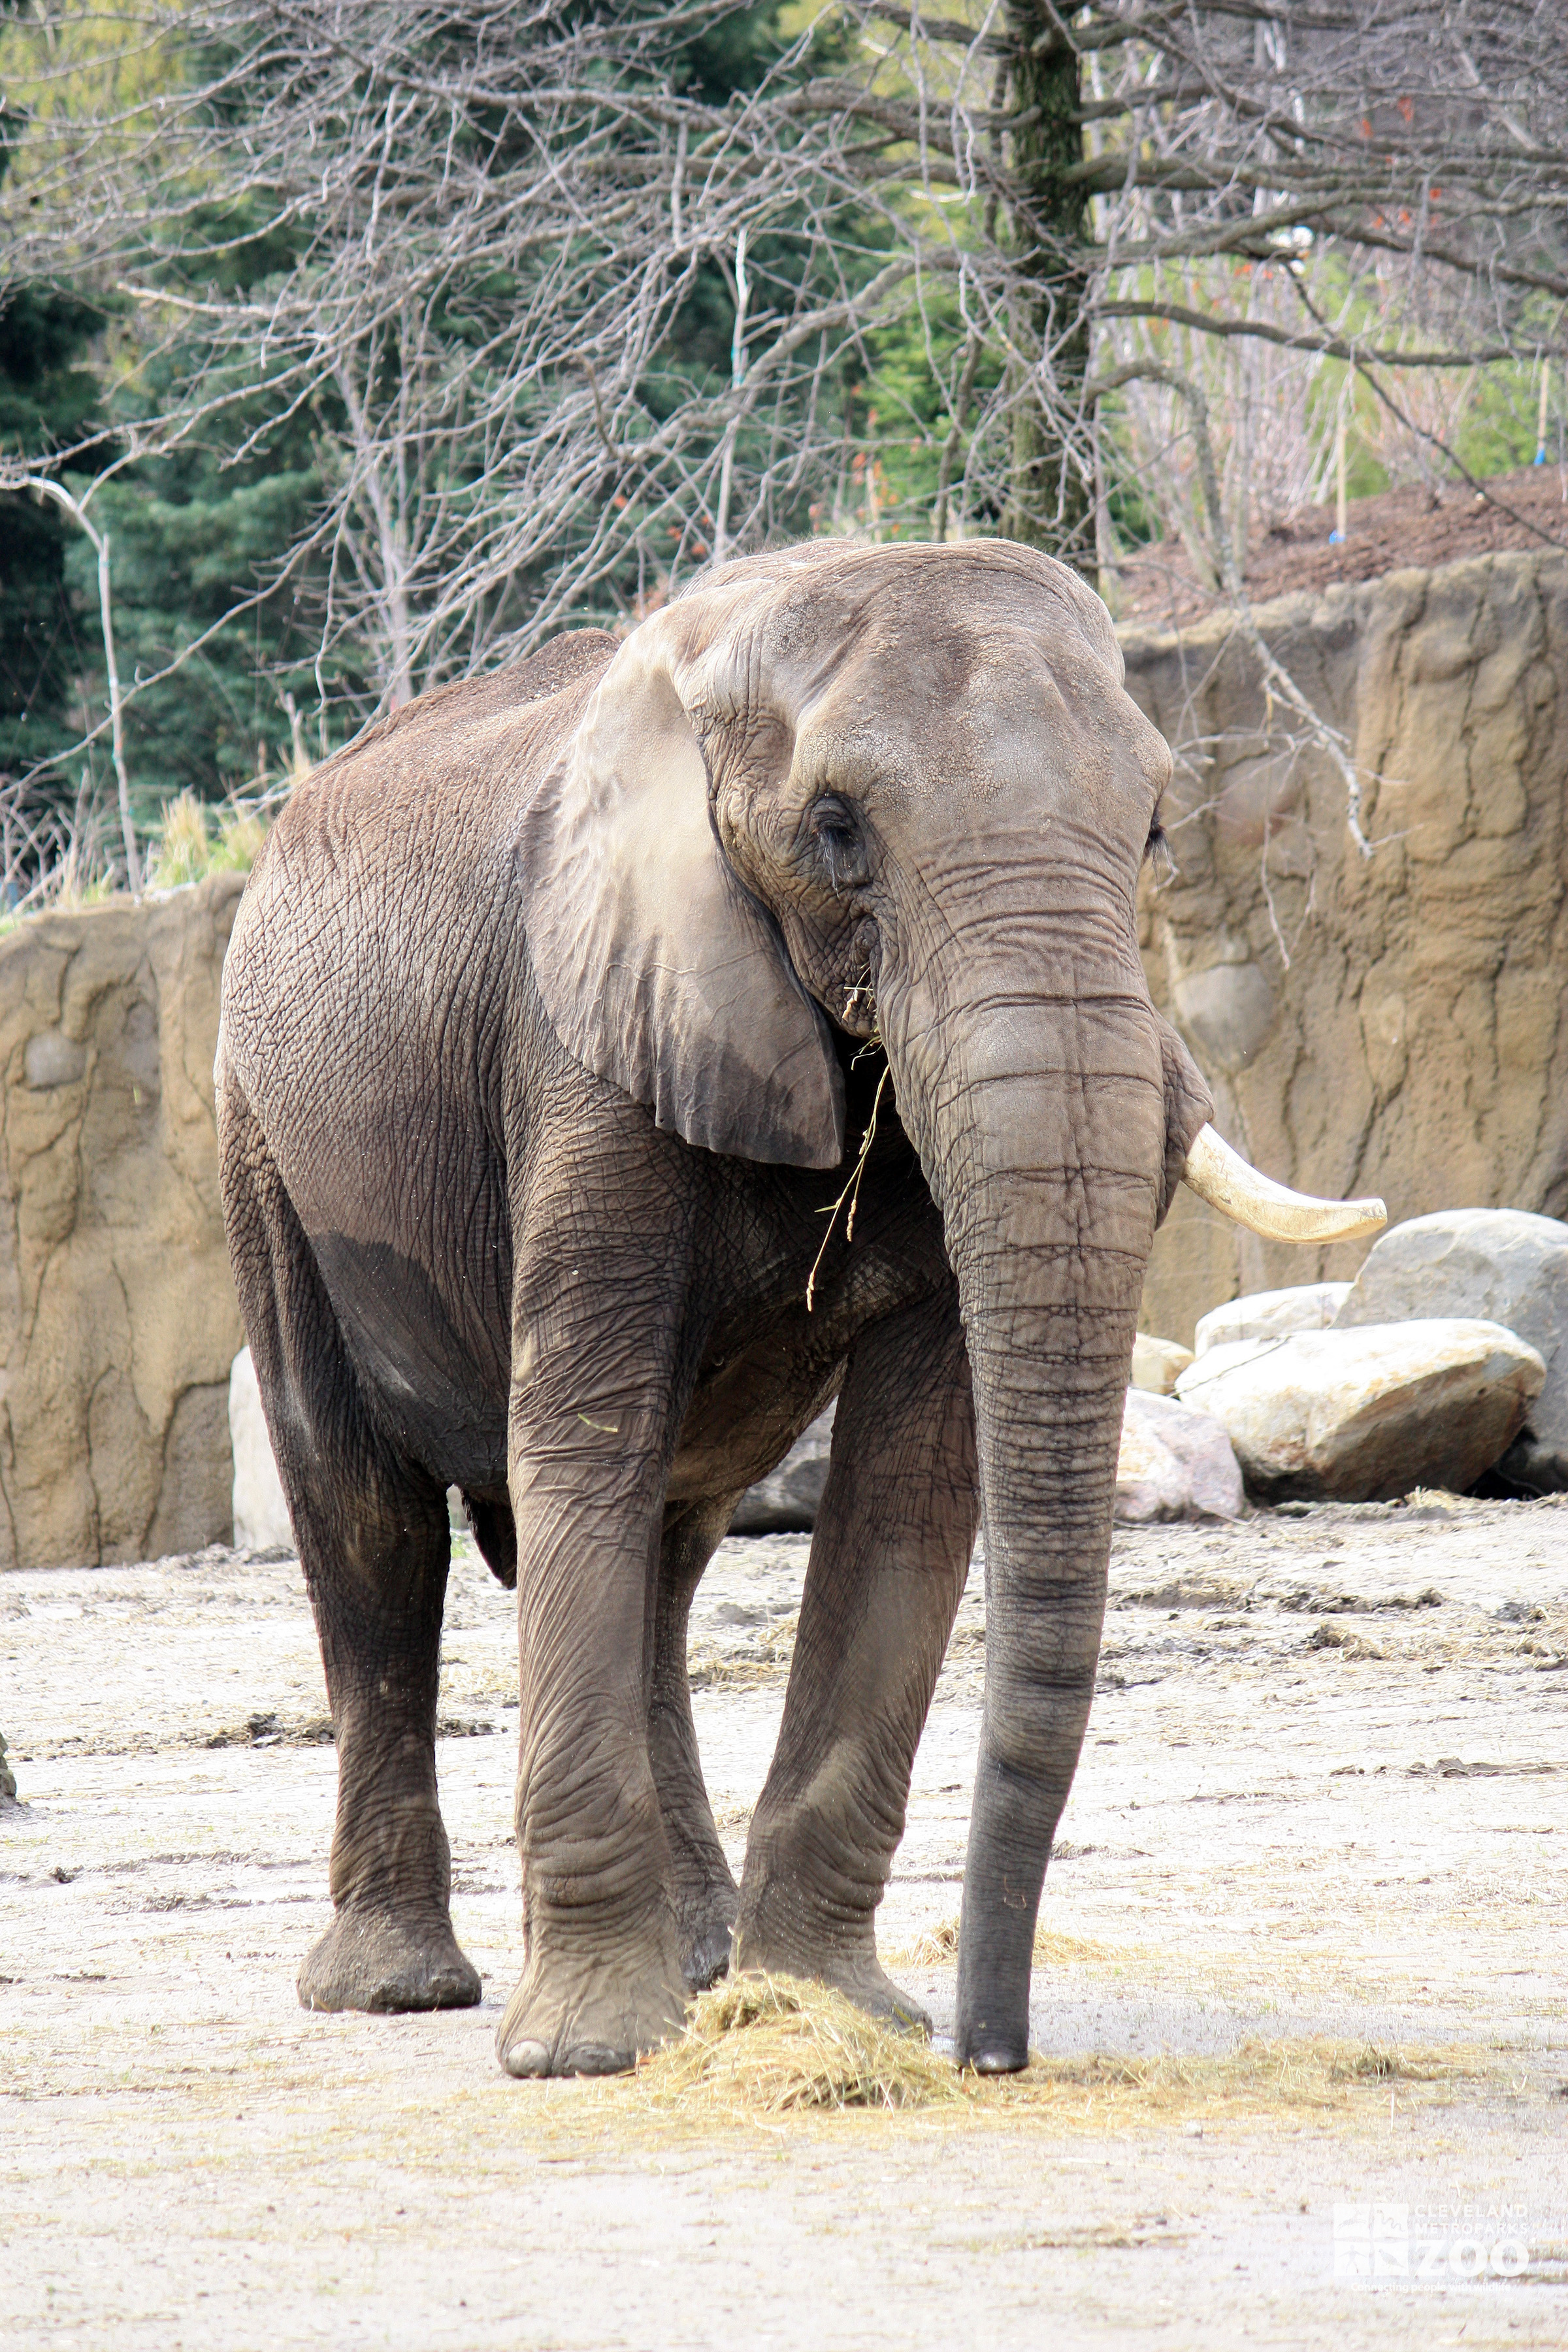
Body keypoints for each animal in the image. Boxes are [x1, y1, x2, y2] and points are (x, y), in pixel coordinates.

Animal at [217, 538, 1383, 2078]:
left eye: (1148, 834)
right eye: (836, 831)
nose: (991, 2052)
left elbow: (912, 1482)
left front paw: (829, 2014)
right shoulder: (586, 1031)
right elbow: (584, 1433)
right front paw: (587, 2056)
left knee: (665, 1548)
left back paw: (706, 1959)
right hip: (261, 1142)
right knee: (372, 1530)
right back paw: (397, 1989)